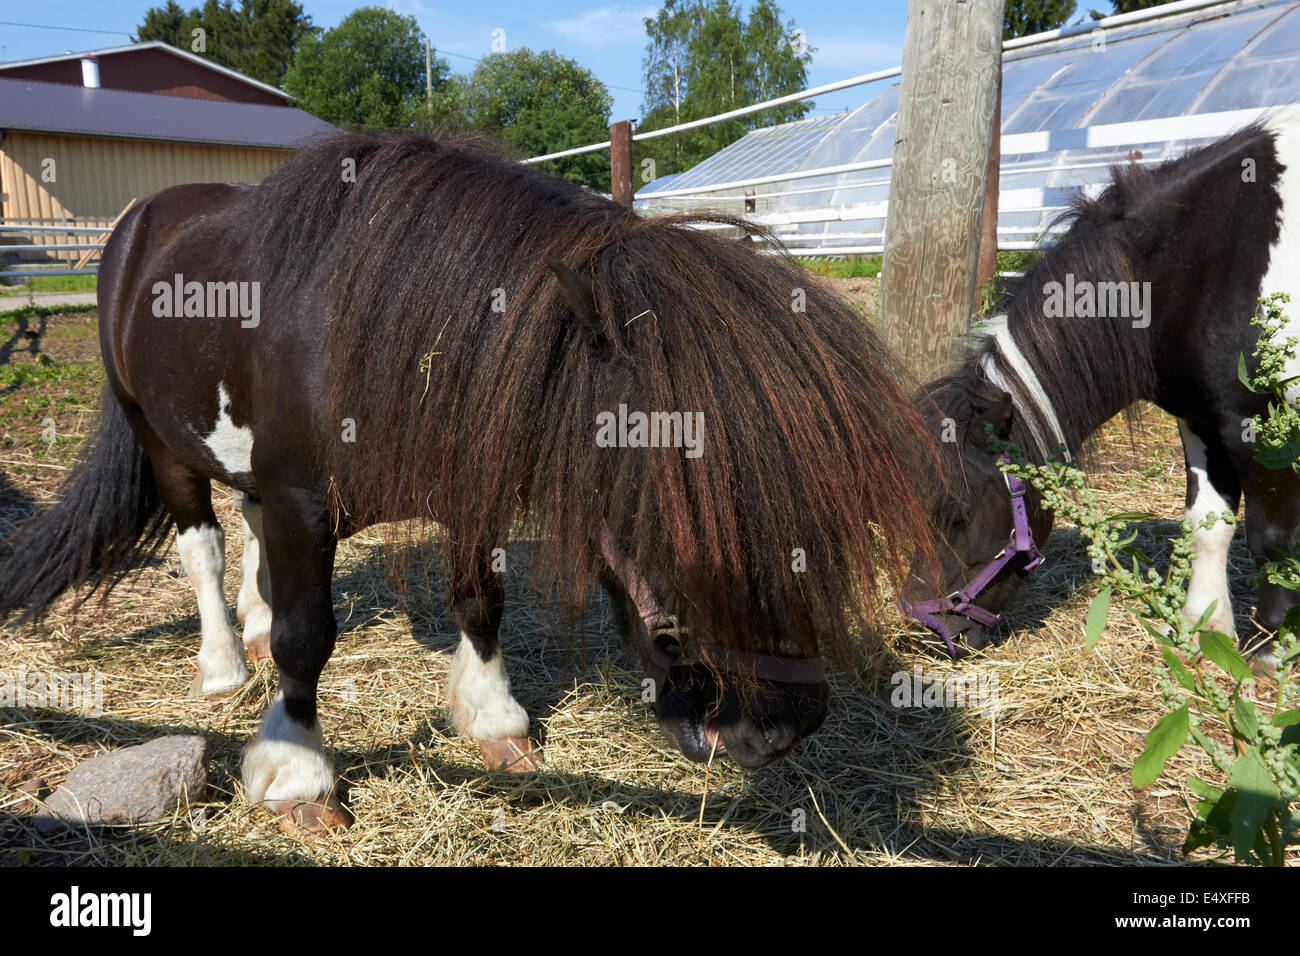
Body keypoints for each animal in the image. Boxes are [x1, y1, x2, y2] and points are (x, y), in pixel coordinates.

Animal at [0, 130, 937, 832]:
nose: (779, 726)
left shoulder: (468, 477)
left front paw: (497, 721)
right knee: (202, 546)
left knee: (249, 525)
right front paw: (298, 776)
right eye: (670, 502)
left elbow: (480, 599)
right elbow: (310, 637)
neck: (376, 327)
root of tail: (139, 223)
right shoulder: (306, 496)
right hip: (157, 435)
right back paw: (226, 664)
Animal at [908, 107, 1300, 670]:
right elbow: (1207, 523)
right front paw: (1204, 627)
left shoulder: (1258, 423)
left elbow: (1273, 539)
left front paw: (1272, 650)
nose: (925, 631)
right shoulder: (1202, 419)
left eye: (957, 515)